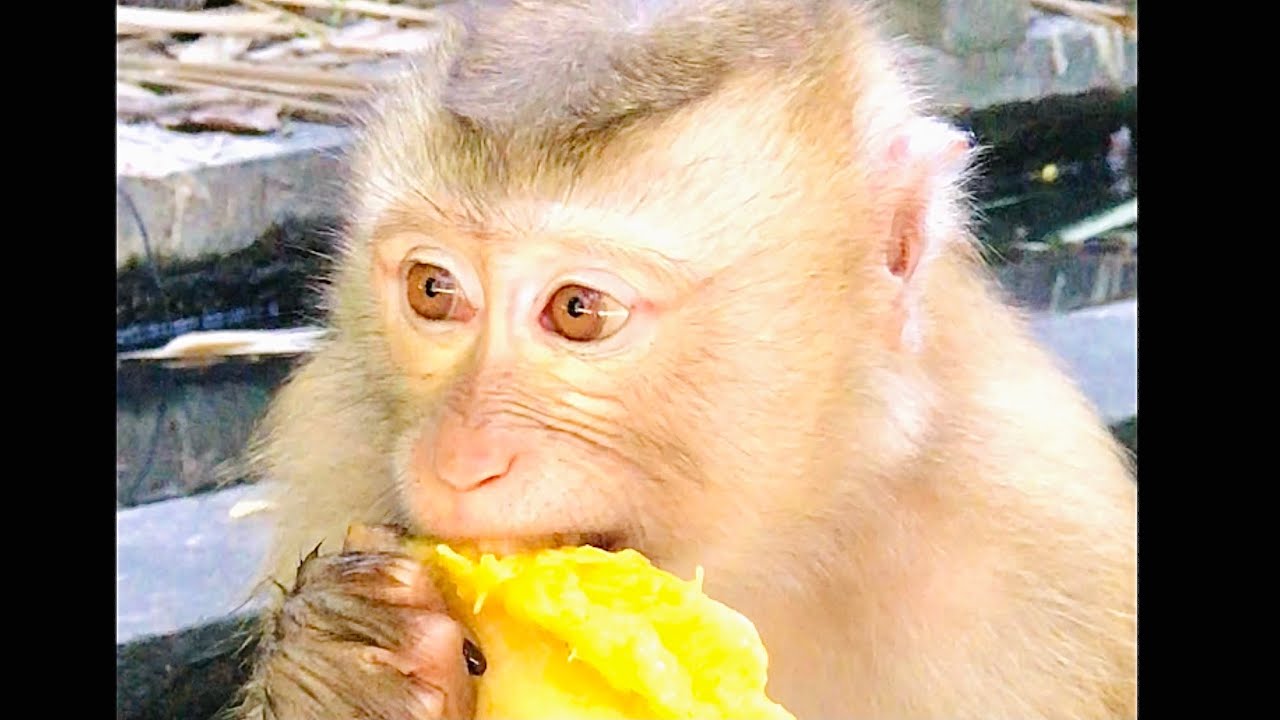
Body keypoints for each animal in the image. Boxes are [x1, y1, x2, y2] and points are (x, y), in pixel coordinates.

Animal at [233, 0, 1138, 718]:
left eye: (579, 310)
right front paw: (340, 674)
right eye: (433, 289)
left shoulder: (1039, 540)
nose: (459, 460)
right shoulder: (332, 447)